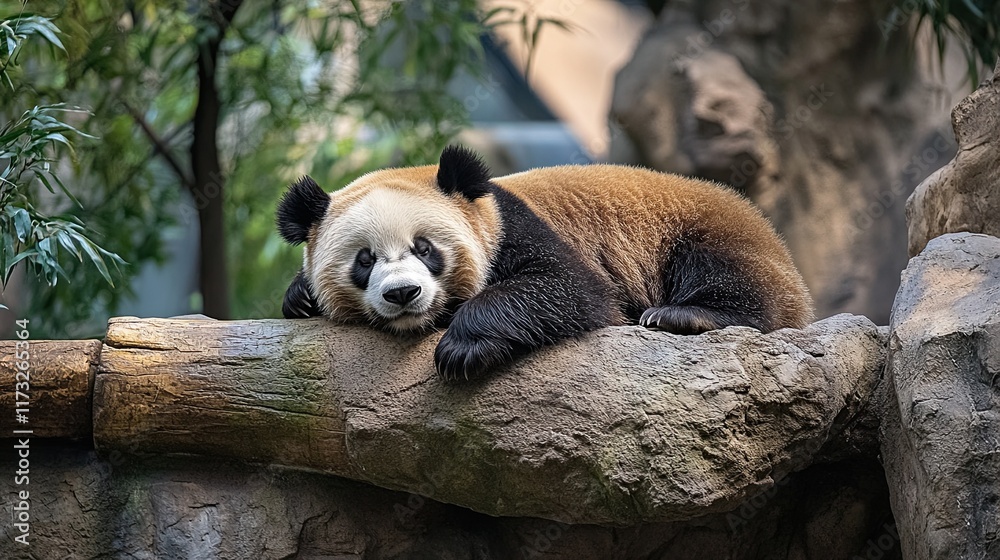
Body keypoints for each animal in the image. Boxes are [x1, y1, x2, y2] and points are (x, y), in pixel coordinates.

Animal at [277, 146, 813, 380]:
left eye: (425, 248)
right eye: (365, 260)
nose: (403, 293)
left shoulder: (513, 226)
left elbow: (571, 289)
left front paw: (463, 349)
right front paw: (301, 299)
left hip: (699, 229)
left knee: (734, 279)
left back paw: (682, 315)